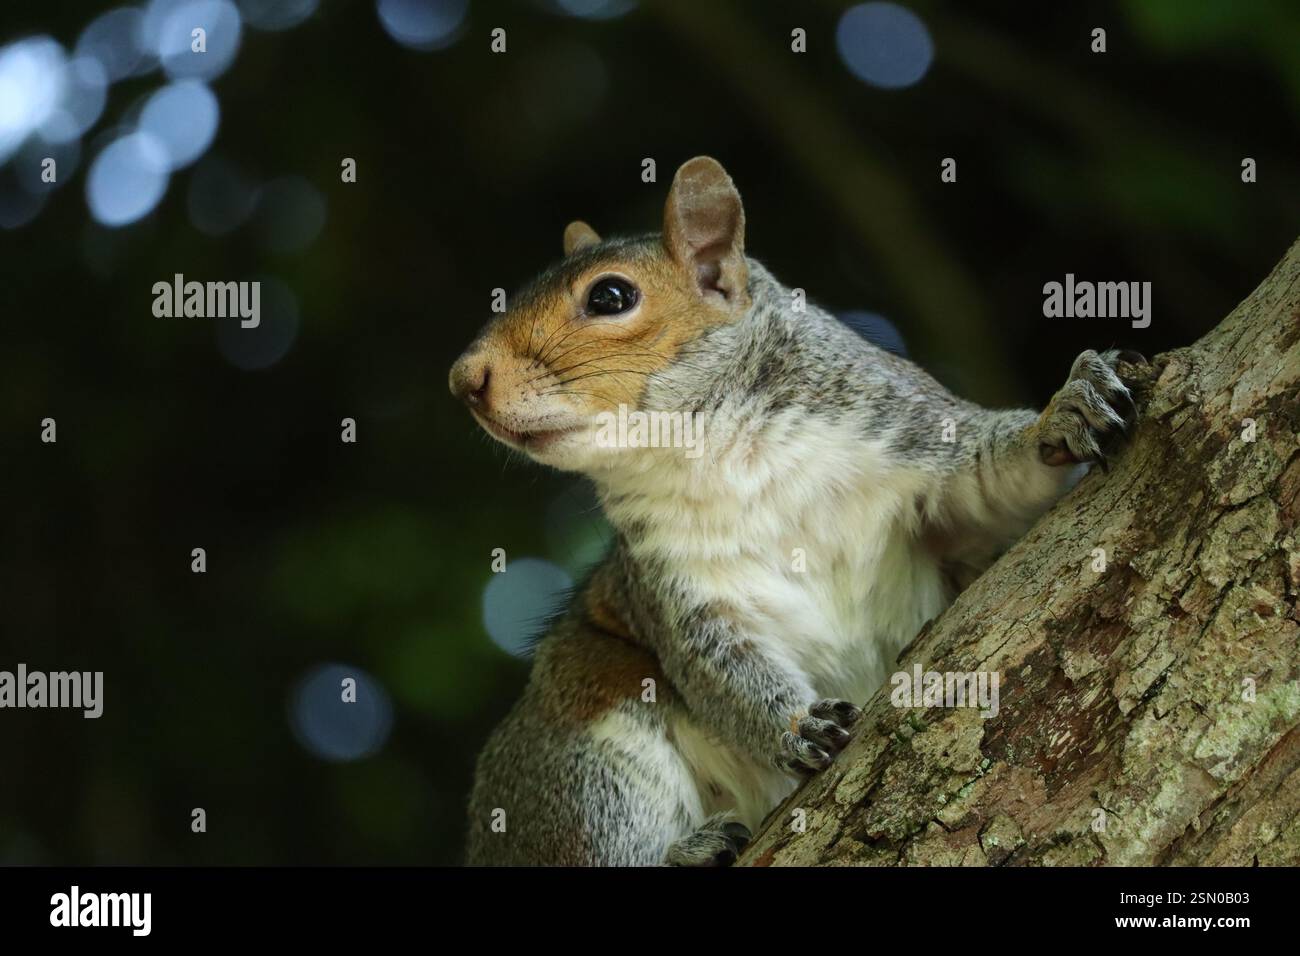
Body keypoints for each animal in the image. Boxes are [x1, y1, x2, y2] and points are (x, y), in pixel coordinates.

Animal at [450, 157, 1140, 866]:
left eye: (610, 297)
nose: (464, 380)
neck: (720, 447)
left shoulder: (913, 438)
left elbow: (993, 485)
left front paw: (1065, 410)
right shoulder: (676, 586)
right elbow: (720, 671)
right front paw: (794, 726)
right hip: (586, 750)